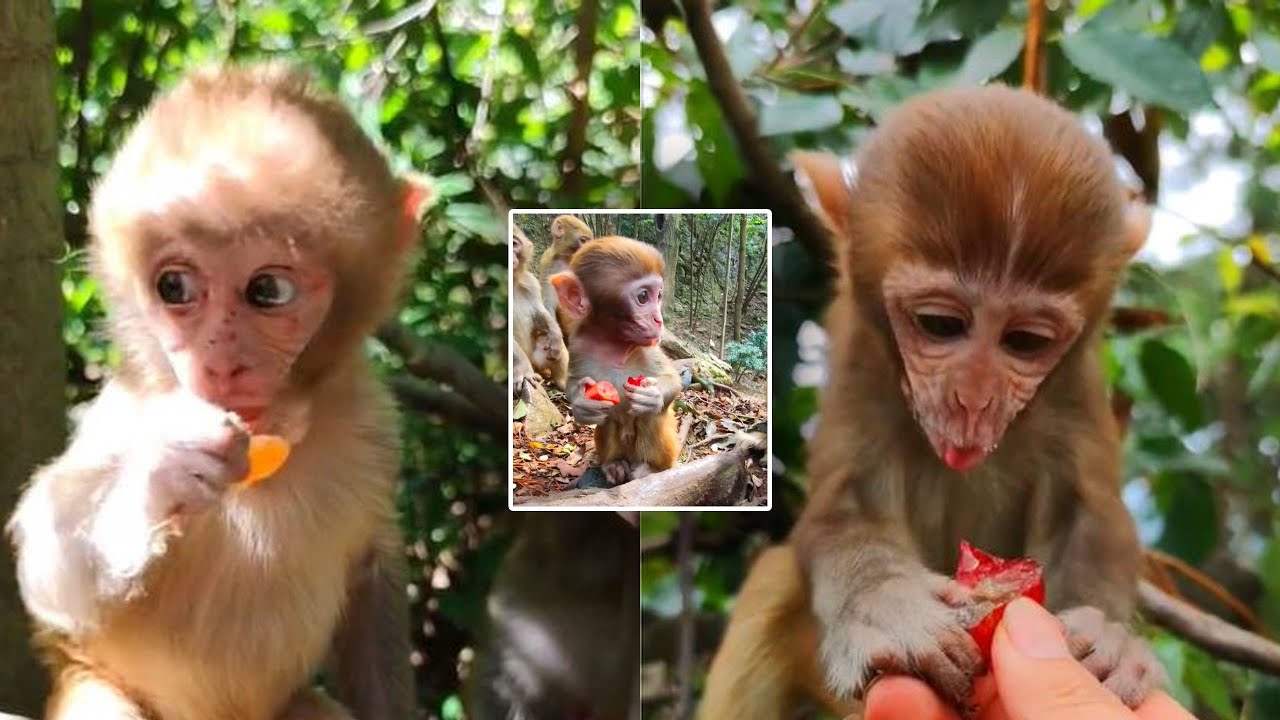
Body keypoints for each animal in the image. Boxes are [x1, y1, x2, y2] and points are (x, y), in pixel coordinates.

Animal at [6, 64, 428, 720]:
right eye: (174, 286)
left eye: (269, 292)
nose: (221, 365)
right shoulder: (130, 410)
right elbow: (51, 560)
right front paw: (161, 476)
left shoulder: (372, 419)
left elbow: (371, 569)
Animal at [512, 224, 569, 389]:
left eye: (514, 244)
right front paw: (523, 370)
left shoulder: (530, 283)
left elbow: (539, 311)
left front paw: (555, 338)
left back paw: (562, 382)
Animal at [549, 237, 681, 486]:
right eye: (643, 297)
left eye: (658, 296)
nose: (658, 320)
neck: (615, 343)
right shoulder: (578, 344)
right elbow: (573, 380)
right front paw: (581, 405)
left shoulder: (649, 347)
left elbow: (673, 379)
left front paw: (654, 395)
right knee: (608, 419)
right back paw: (614, 465)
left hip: (669, 455)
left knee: (650, 416)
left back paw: (651, 469)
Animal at [698, 85, 1164, 719]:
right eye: (941, 325)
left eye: (1025, 341)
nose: (973, 400)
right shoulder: (863, 363)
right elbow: (847, 508)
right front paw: (887, 607)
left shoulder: (1072, 384)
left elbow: (1085, 515)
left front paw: (1112, 639)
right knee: (772, 580)